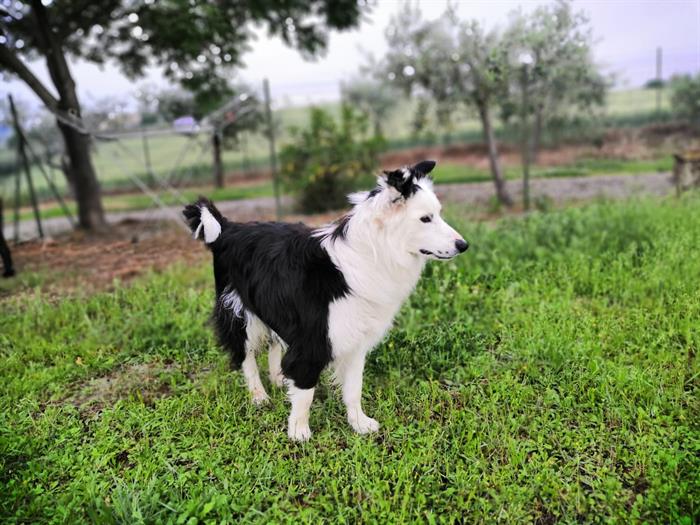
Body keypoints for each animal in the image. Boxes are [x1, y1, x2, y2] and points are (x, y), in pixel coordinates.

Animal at [183, 160, 468, 438]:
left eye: (437, 214)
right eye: (425, 219)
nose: (463, 245)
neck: (372, 252)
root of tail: (228, 228)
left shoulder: (354, 339)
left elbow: (354, 388)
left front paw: (358, 424)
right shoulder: (313, 338)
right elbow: (306, 392)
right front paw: (299, 431)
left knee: (273, 342)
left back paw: (277, 379)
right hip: (239, 310)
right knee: (245, 355)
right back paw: (259, 395)